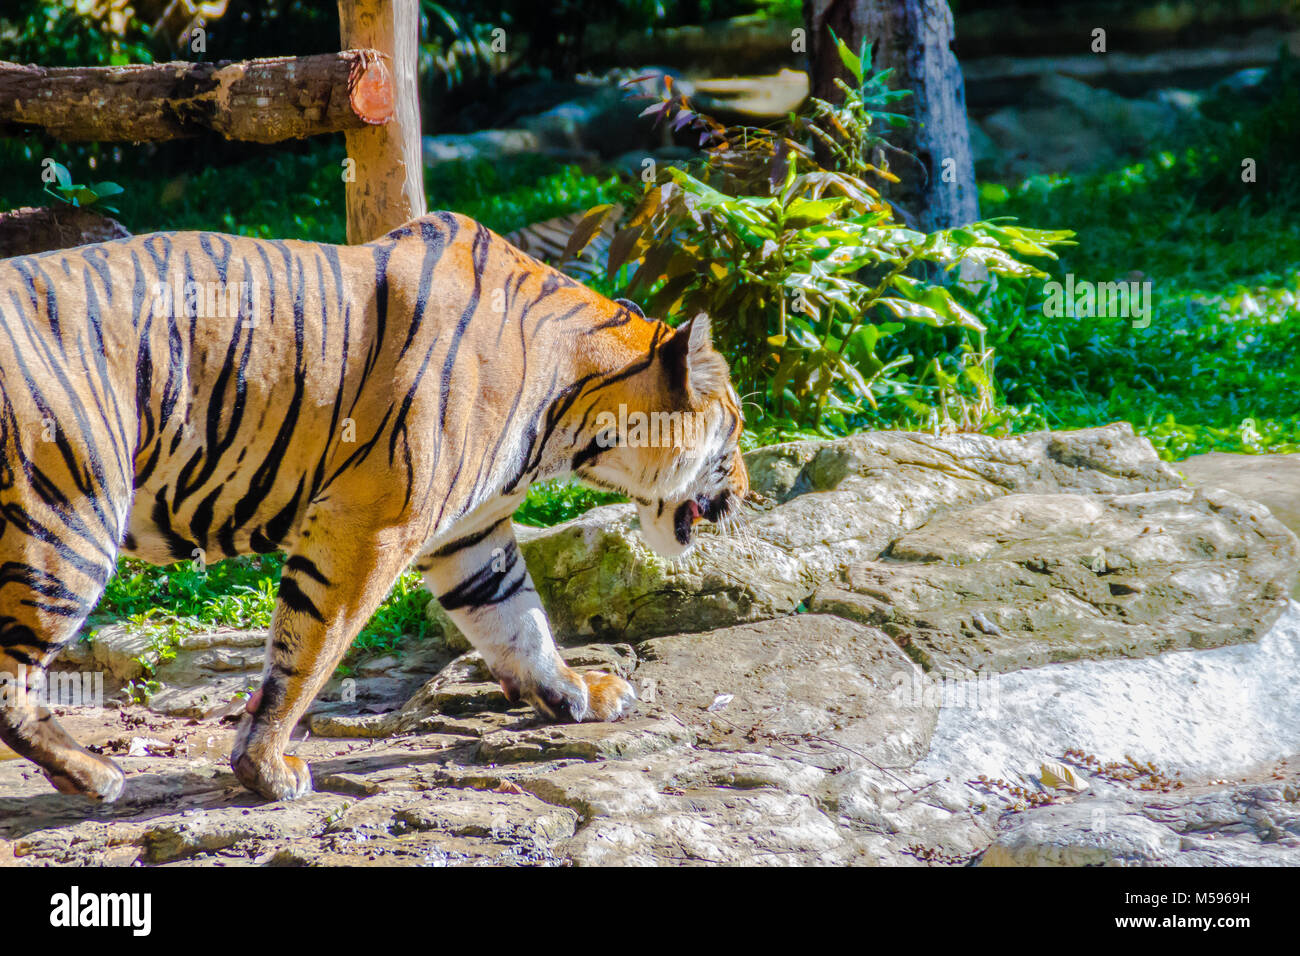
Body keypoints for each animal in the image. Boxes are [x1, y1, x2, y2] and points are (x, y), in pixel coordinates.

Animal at [0, 211, 748, 802]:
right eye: (737, 429)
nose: (746, 491)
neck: (572, 415)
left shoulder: (471, 534)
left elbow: (518, 618)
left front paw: (577, 694)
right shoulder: (373, 525)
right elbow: (307, 651)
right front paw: (266, 768)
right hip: (66, 525)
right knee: (11, 682)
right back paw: (96, 777)